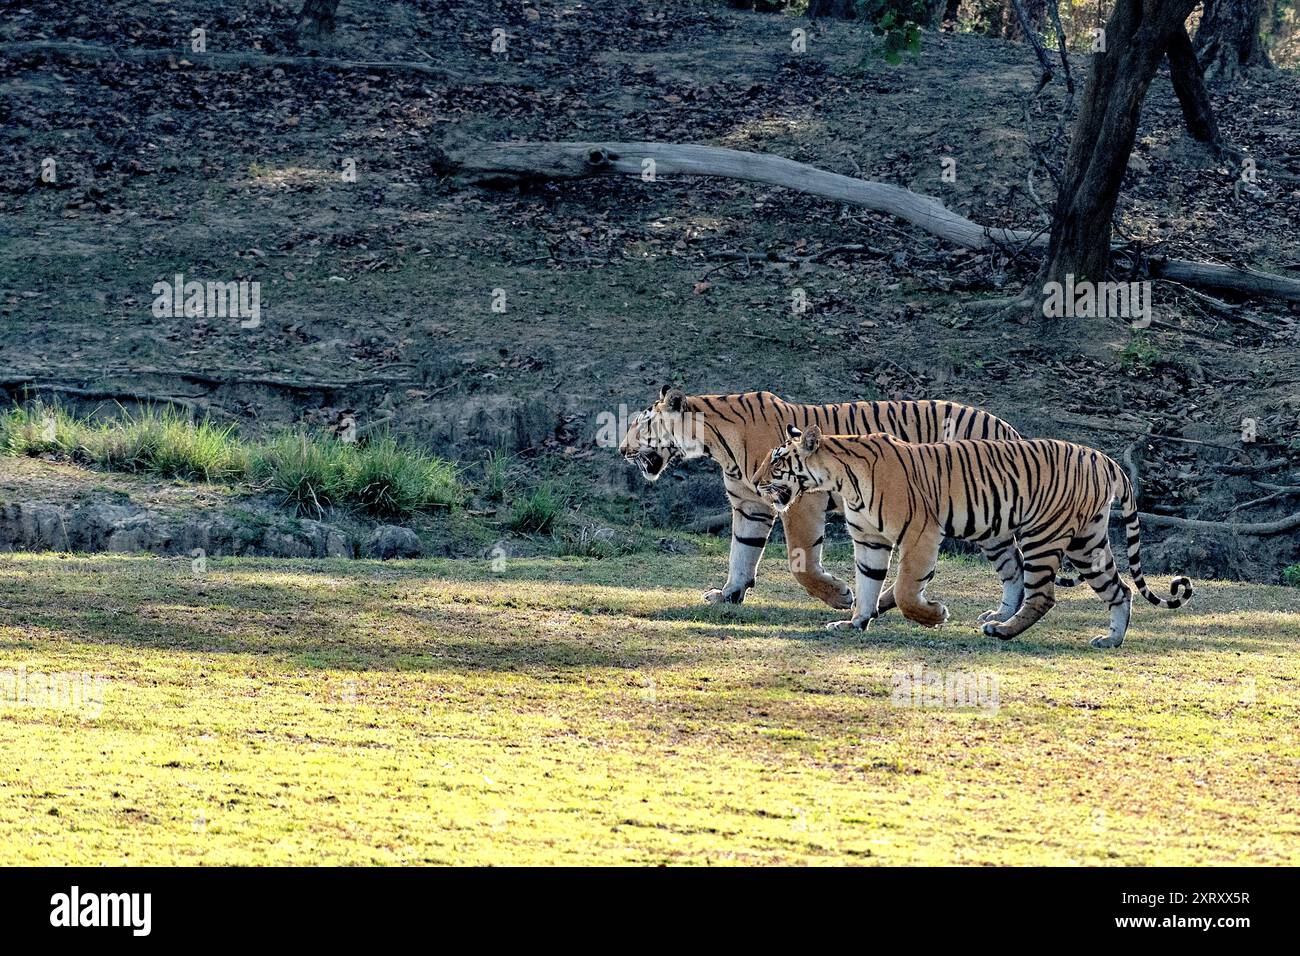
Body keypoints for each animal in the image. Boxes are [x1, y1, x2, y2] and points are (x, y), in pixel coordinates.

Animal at [617, 386, 1058, 612]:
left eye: (642, 423)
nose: (622, 449)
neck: (714, 441)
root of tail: (1010, 430)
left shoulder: (798, 502)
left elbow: (802, 563)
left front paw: (839, 594)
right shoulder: (750, 506)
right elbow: (740, 554)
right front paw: (728, 594)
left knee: (1014, 564)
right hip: (988, 521)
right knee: (1013, 565)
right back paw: (999, 615)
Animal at [753, 424, 1193, 648]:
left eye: (777, 462)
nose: (756, 482)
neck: (840, 478)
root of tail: (1104, 458)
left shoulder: (921, 533)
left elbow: (907, 589)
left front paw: (934, 616)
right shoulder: (869, 540)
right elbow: (866, 584)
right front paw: (855, 622)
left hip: (1043, 536)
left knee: (1043, 595)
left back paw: (1003, 630)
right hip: (1088, 543)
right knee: (1120, 589)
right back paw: (1110, 639)